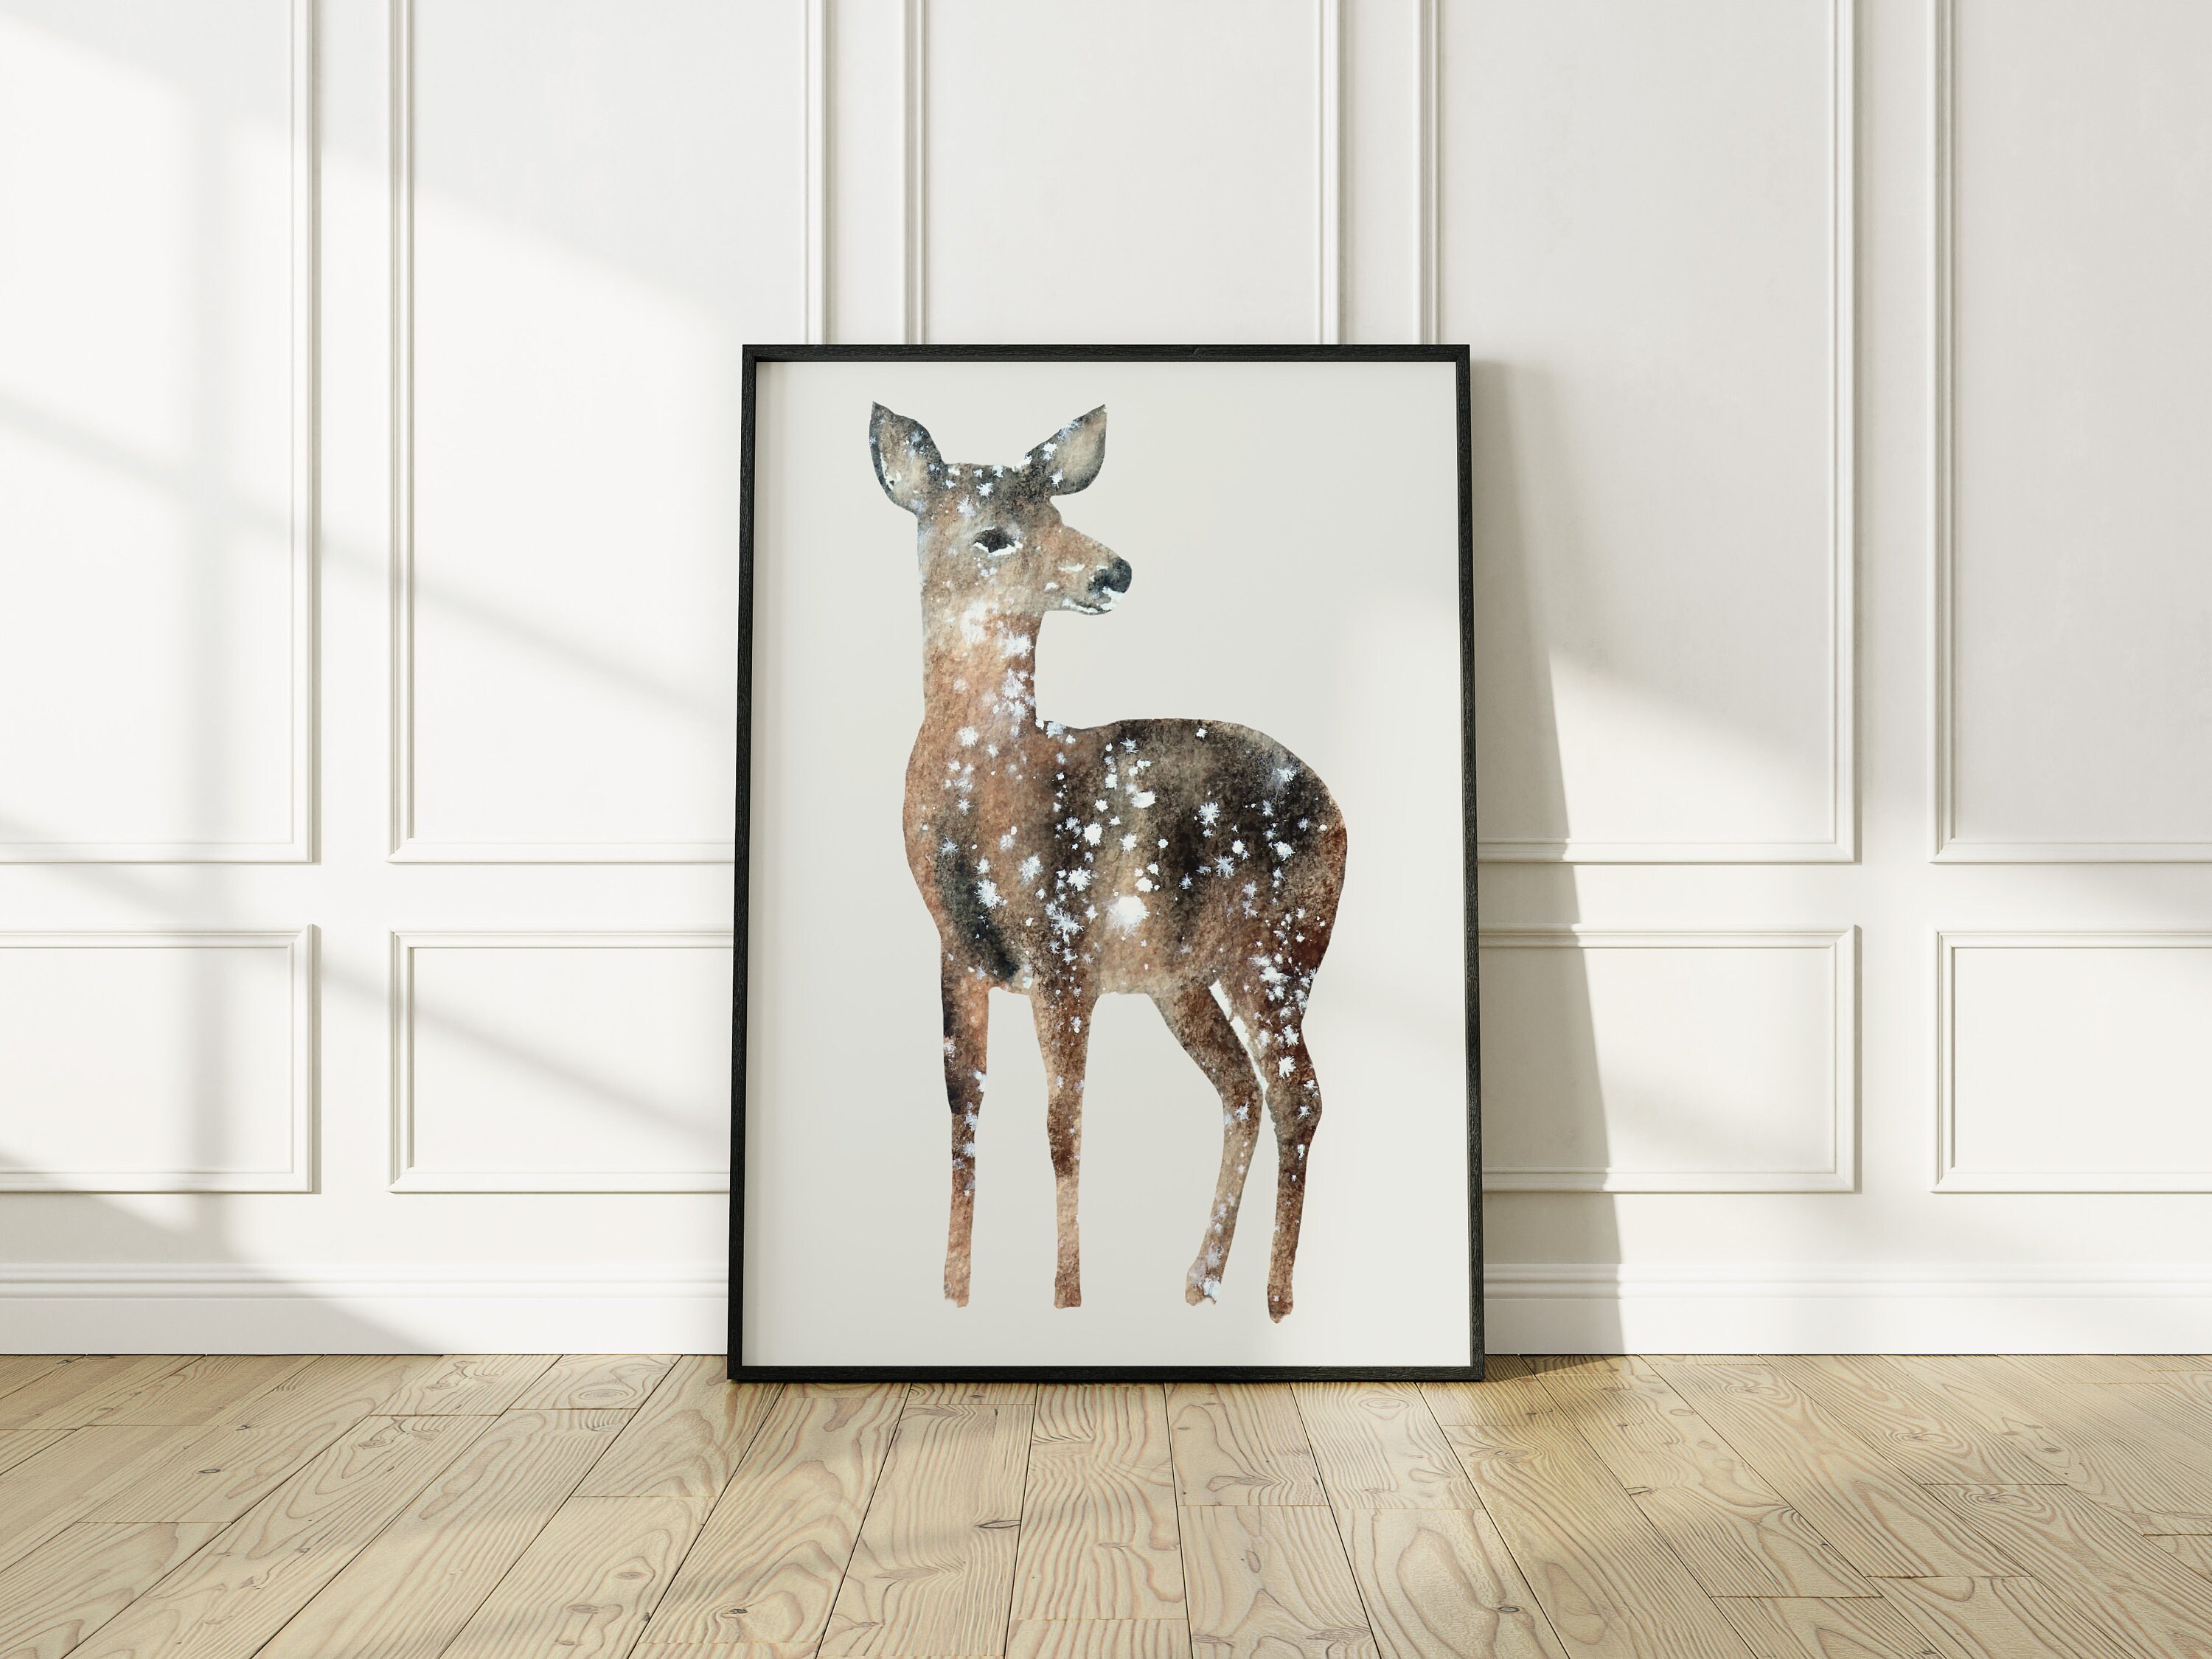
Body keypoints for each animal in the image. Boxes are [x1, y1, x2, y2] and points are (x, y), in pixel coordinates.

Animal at [872, 401, 1349, 1322]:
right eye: (995, 534)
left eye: (1058, 511)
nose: (1115, 571)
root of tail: (1342, 813)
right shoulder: (959, 952)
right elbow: (963, 1116)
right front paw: (955, 1291)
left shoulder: (1066, 953)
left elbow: (1063, 1126)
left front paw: (1067, 1296)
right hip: (1185, 979)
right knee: (1242, 1091)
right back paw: (1200, 1282)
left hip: (1280, 954)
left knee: (1298, 1095)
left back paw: (1275, 1298)